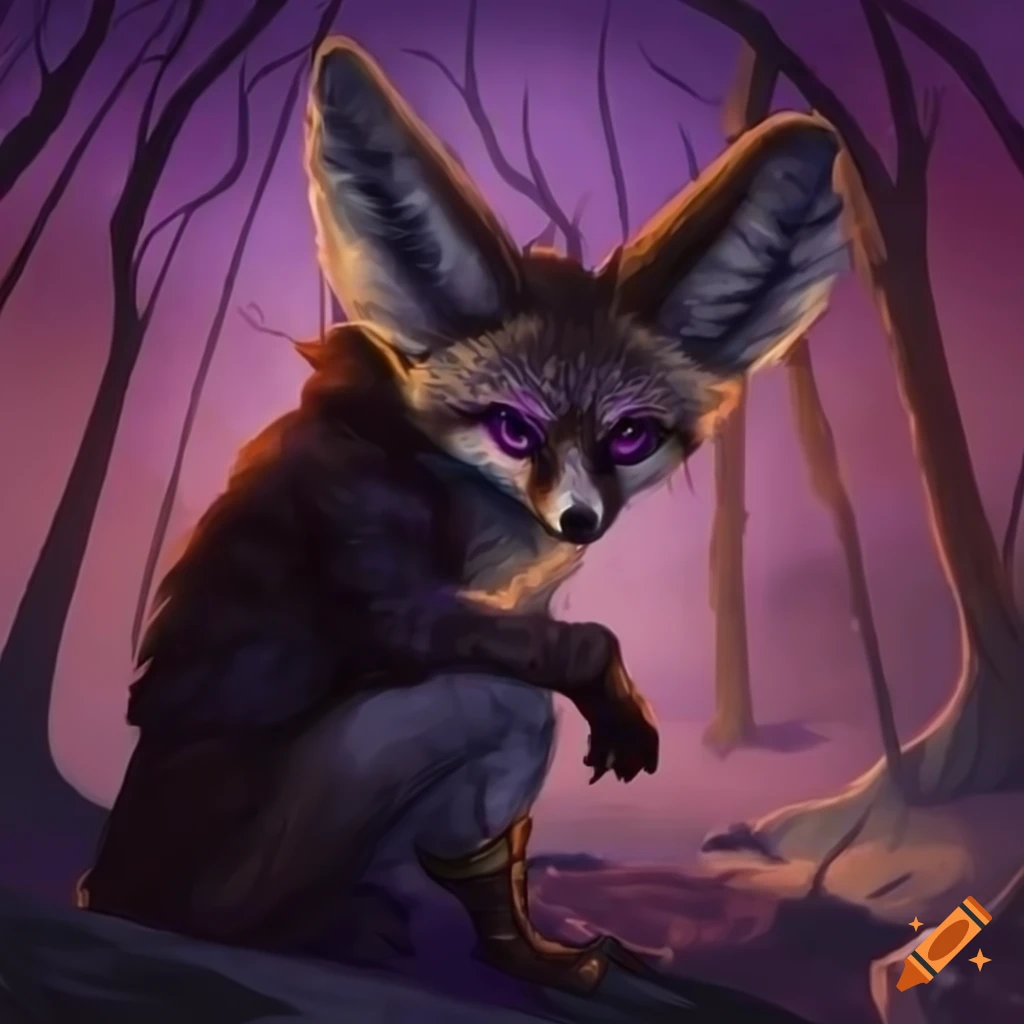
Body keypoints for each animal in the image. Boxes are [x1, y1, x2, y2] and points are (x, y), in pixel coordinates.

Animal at [81, 36, 848, 1003]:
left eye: (629, 436)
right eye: (514, 428)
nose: (580, 520)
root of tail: (102, 884)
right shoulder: (362, 512)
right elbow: (470, 633)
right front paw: (611, 685)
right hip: (259, 860)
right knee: (503, 702)